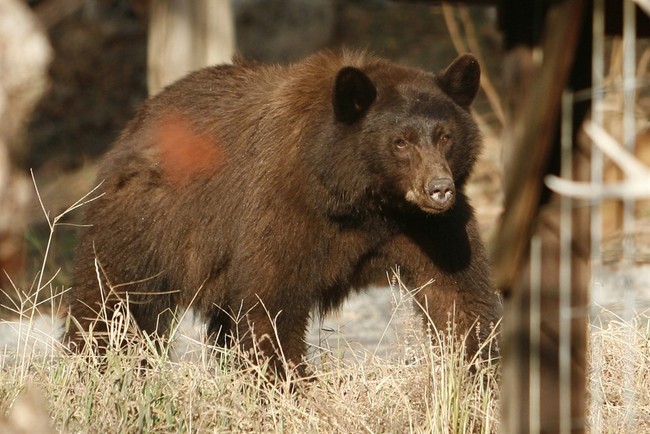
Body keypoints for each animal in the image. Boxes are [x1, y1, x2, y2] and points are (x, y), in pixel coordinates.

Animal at [66, 49, 502, 376]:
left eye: (446, 136)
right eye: (400, 142)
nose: (439, 189)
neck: (364, 202)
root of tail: (137, 122)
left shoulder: (431, 228)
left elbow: (459, 294)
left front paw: (478, 374)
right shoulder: (284, 205)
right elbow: (272, 301)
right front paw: (288, 383)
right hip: (143, 224)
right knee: (109, 305)